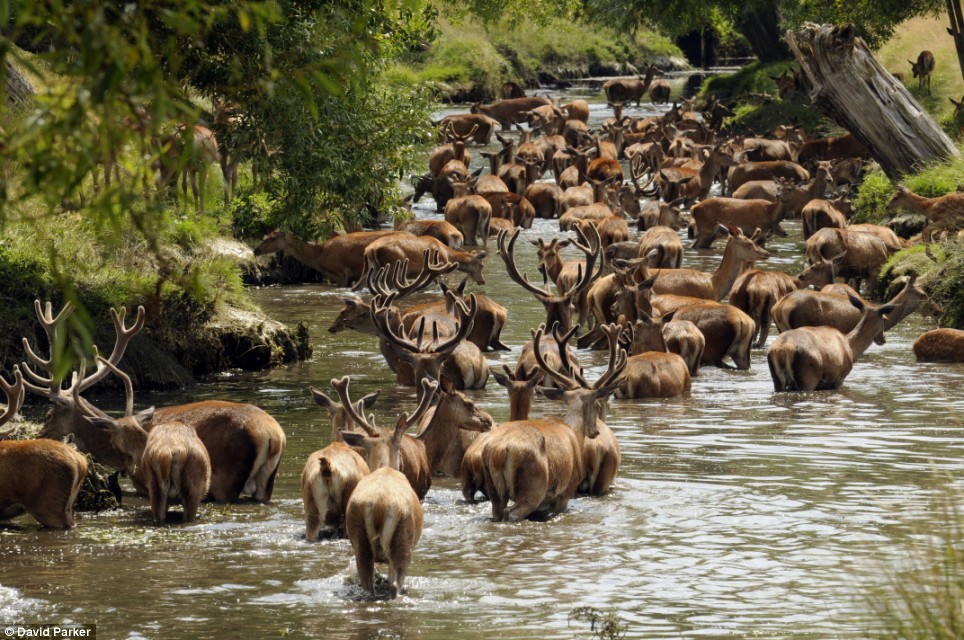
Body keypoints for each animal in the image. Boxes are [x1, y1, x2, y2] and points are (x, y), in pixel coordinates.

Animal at [22, 300, 285, 504]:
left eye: (49, 413)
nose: (39, 434)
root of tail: (271, 435)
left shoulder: (143, 479)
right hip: (266, 483)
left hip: (228, 477)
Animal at [767, 293, 897, 391]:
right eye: (885, 319)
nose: (883, 339)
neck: (851, 347)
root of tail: (782, 349)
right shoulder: (840, 377)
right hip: (807, 376)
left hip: (776, 379)